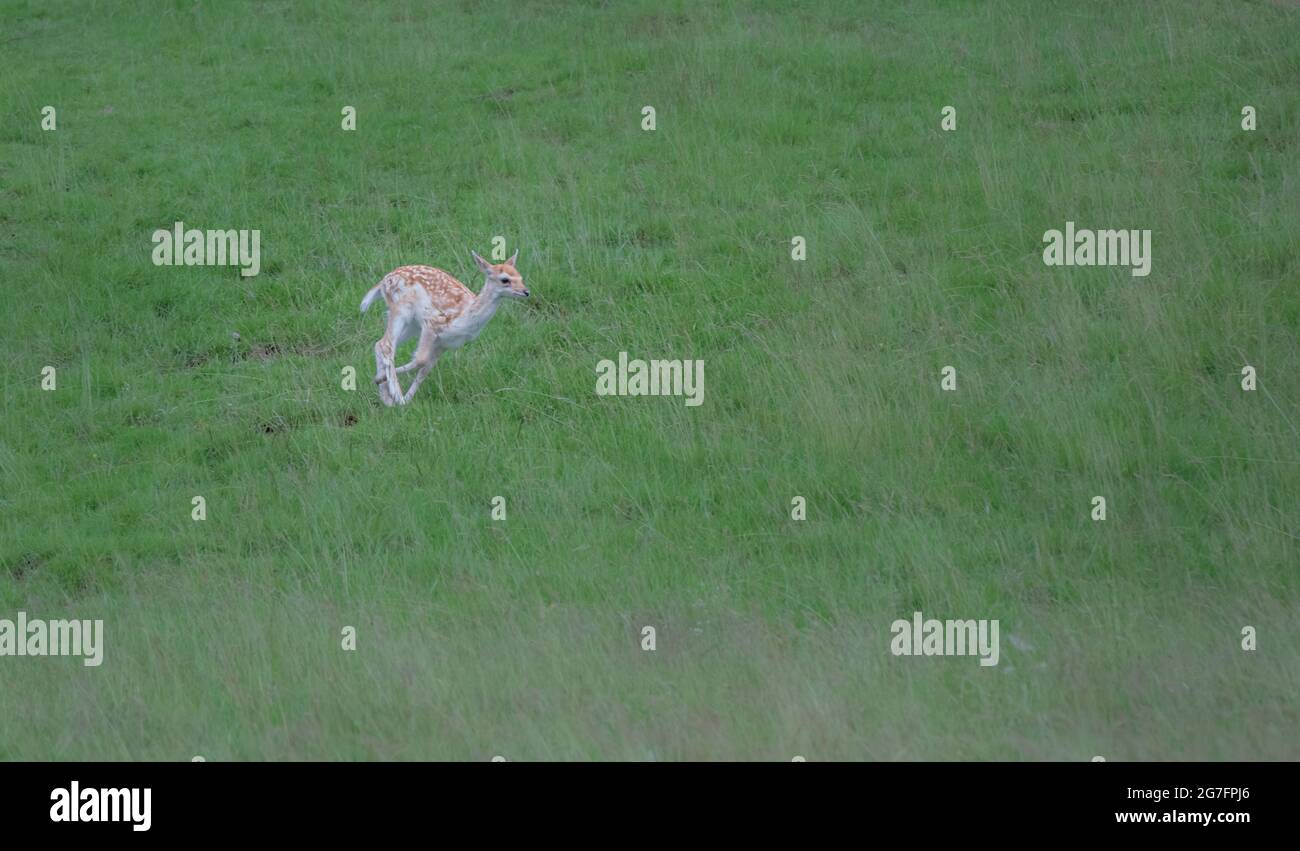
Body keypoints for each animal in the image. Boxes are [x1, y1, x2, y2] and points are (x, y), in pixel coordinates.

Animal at [360, 250, 529, 406]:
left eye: (521, 277)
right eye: (505, 280)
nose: (526, 292)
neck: (466, 317)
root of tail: (383, 280)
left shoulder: (444, 343)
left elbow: (424, 370)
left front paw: (406, 399)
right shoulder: (433, 323)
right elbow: (421, 360)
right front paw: (391, 390)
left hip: (412, 325)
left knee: (379, 344)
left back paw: (386, 398)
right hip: (401, 309)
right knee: (386, 345)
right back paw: (394, 394)